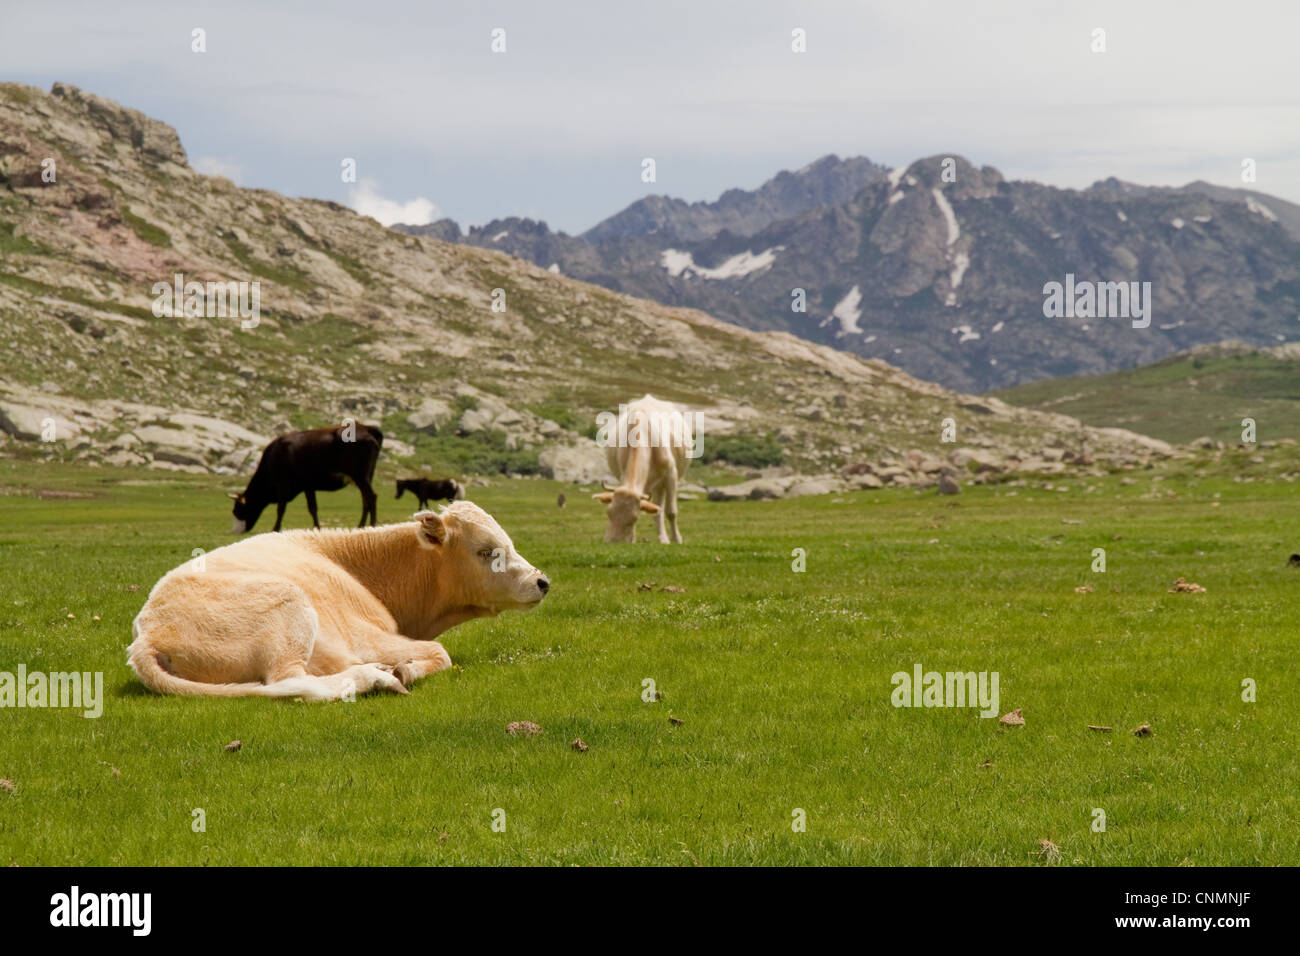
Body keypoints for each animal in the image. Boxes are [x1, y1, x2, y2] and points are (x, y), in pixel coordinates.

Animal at [128, 502, 549, 700]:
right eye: (486, 551)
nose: (542, 581)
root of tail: (147, 633)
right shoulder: (368, 636)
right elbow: (439, 653)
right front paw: (404, 670)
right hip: (290, 610)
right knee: (291, 680)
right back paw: (374, 677)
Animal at [229, 424, 383, 534]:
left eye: (236, 510)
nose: (234, 532)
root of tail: (367, 428)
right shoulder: (308, 485)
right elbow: (312, 508)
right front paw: (317, 528)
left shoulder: (283, 484)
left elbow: (281, 508)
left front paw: (275, 528)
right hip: (365, 476)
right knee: (365, 499)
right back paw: (361, 526)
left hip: (360, 475)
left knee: (371, 496)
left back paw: (372, 525)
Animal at [592, 394, 694, 543]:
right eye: (608, 513)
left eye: (634, 518)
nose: (613, 542)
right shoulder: (623, 475)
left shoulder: (671, 474)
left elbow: (671, 512)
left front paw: (677, 539)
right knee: (657, 510)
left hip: (660, 484)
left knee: (660, 509)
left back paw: (665, 539)